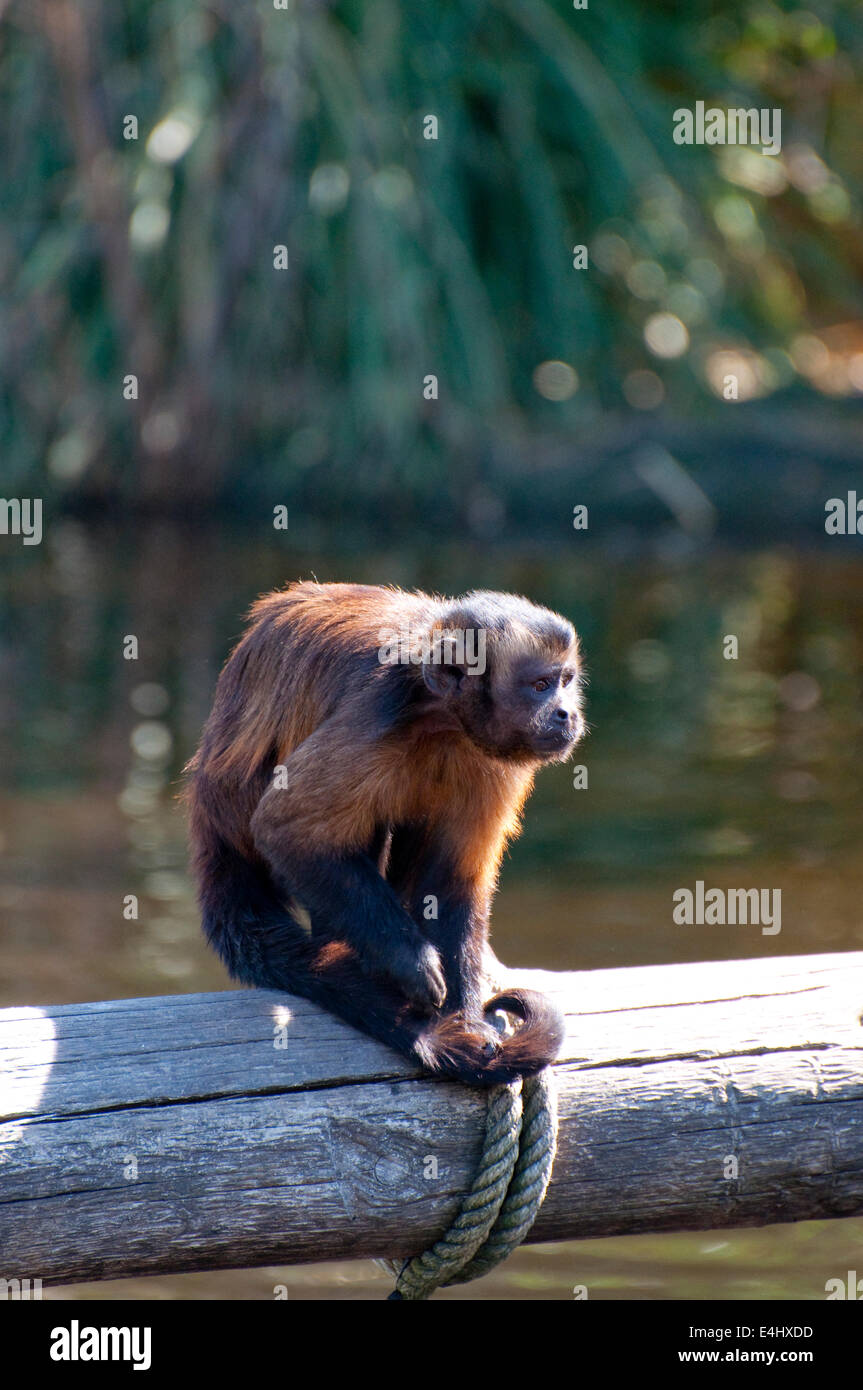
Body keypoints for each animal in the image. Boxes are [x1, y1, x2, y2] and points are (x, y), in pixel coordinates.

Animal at [184, 581, 585, 1086]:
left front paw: (464, 1014)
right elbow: (286, 829)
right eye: (540, 686)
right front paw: (407, 961)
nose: (566, 713)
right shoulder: (377, 714)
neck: (442, 717)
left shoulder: (492, 760)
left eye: (566, 680)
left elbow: (451, 879)